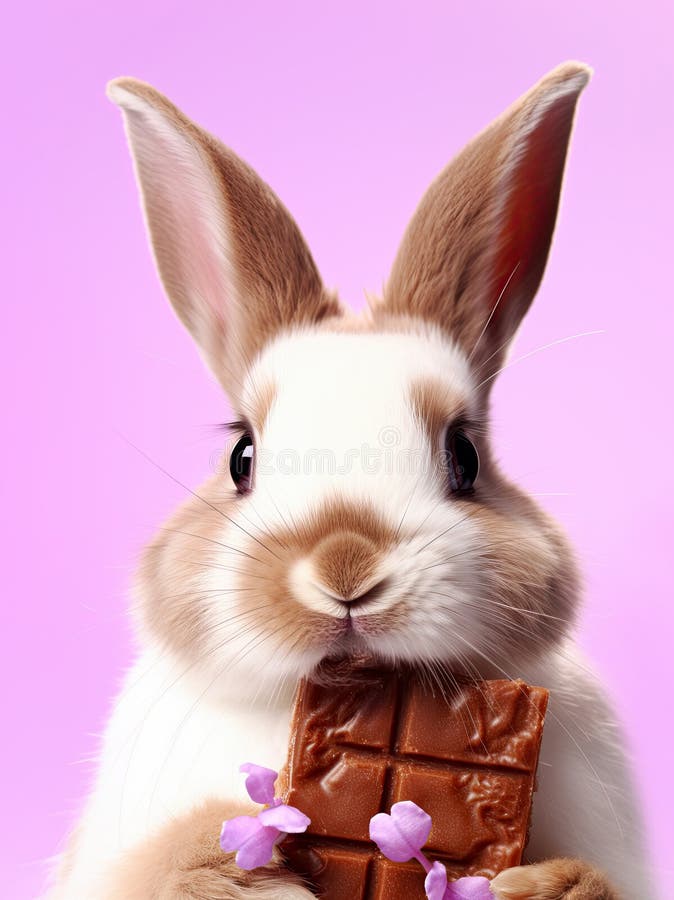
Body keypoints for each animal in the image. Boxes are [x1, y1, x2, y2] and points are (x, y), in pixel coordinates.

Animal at [47, 61, 653, 899]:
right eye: (242, 457)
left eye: (465, 457)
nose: (346, 569)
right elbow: (160, 869)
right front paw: (235, 852)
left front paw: (547, 884)